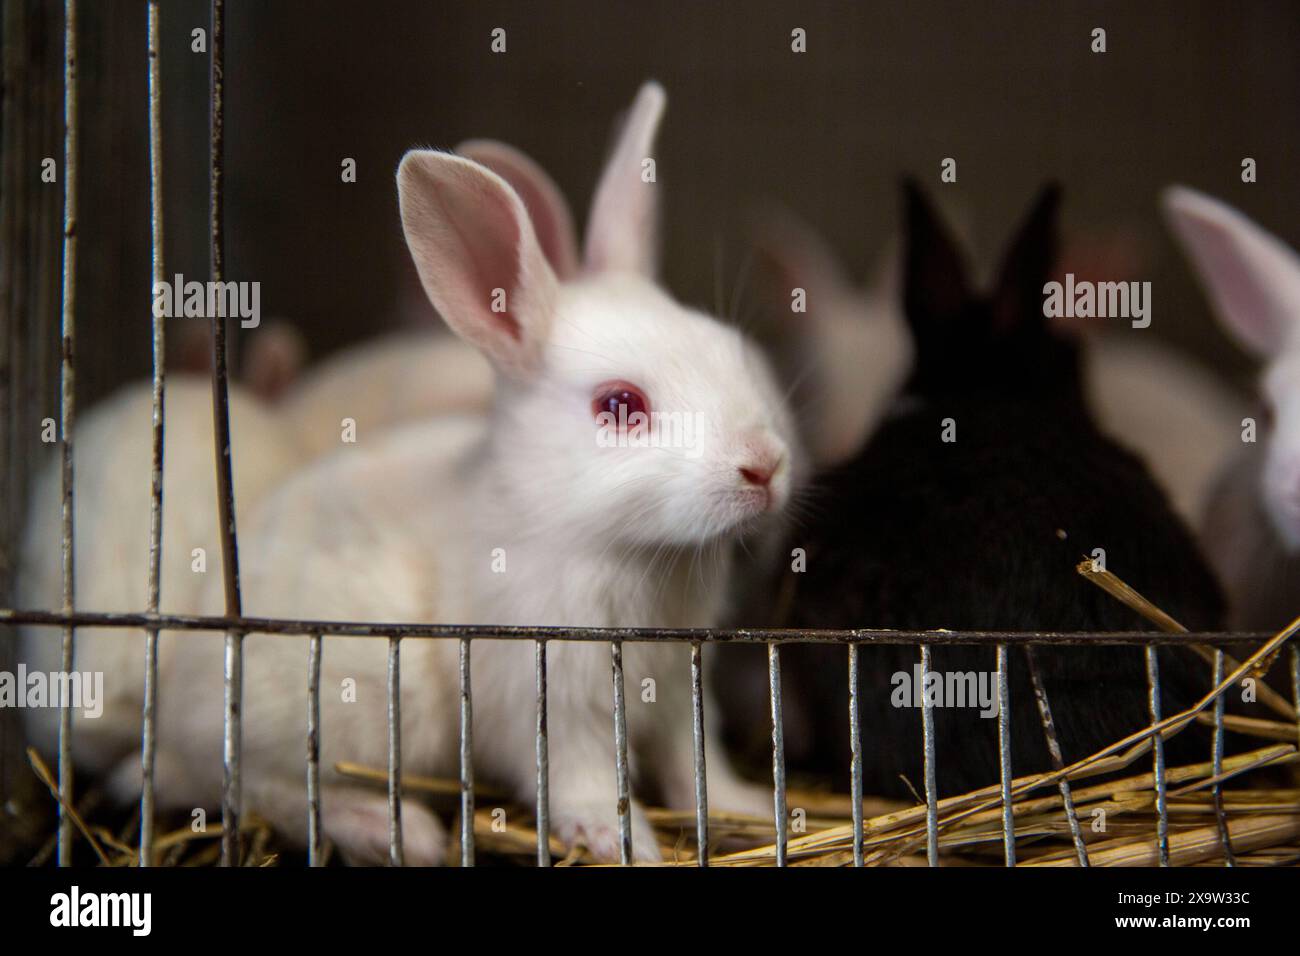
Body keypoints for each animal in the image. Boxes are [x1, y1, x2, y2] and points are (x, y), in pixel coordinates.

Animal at [54, 81, 806, 866]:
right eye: (620, 405)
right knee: (262, 788)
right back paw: (398, 830)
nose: (764, 466)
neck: (606, 543)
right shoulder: (546, 701)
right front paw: (614, 840)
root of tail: (171, 712)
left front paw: (747, 808)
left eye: (732, 346)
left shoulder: (681, 693)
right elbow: (581, 779)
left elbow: (696, 763)